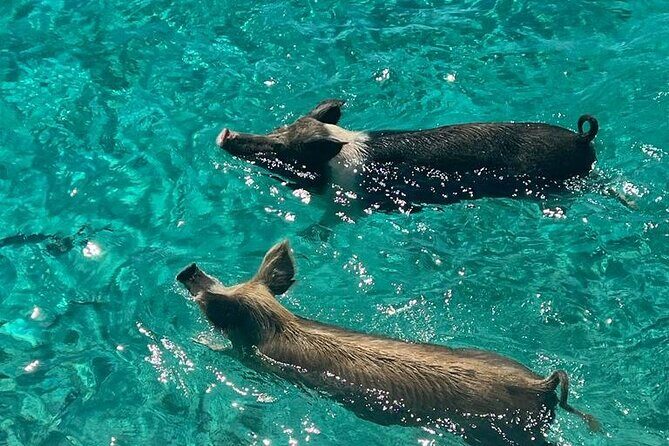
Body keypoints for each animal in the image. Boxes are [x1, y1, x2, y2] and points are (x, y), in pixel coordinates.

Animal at [177, 241, 600, 445]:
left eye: (211, 301)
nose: (189, 270)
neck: (277, 325)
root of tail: (541, 383)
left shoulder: (256, 360)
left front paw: (199, 341)